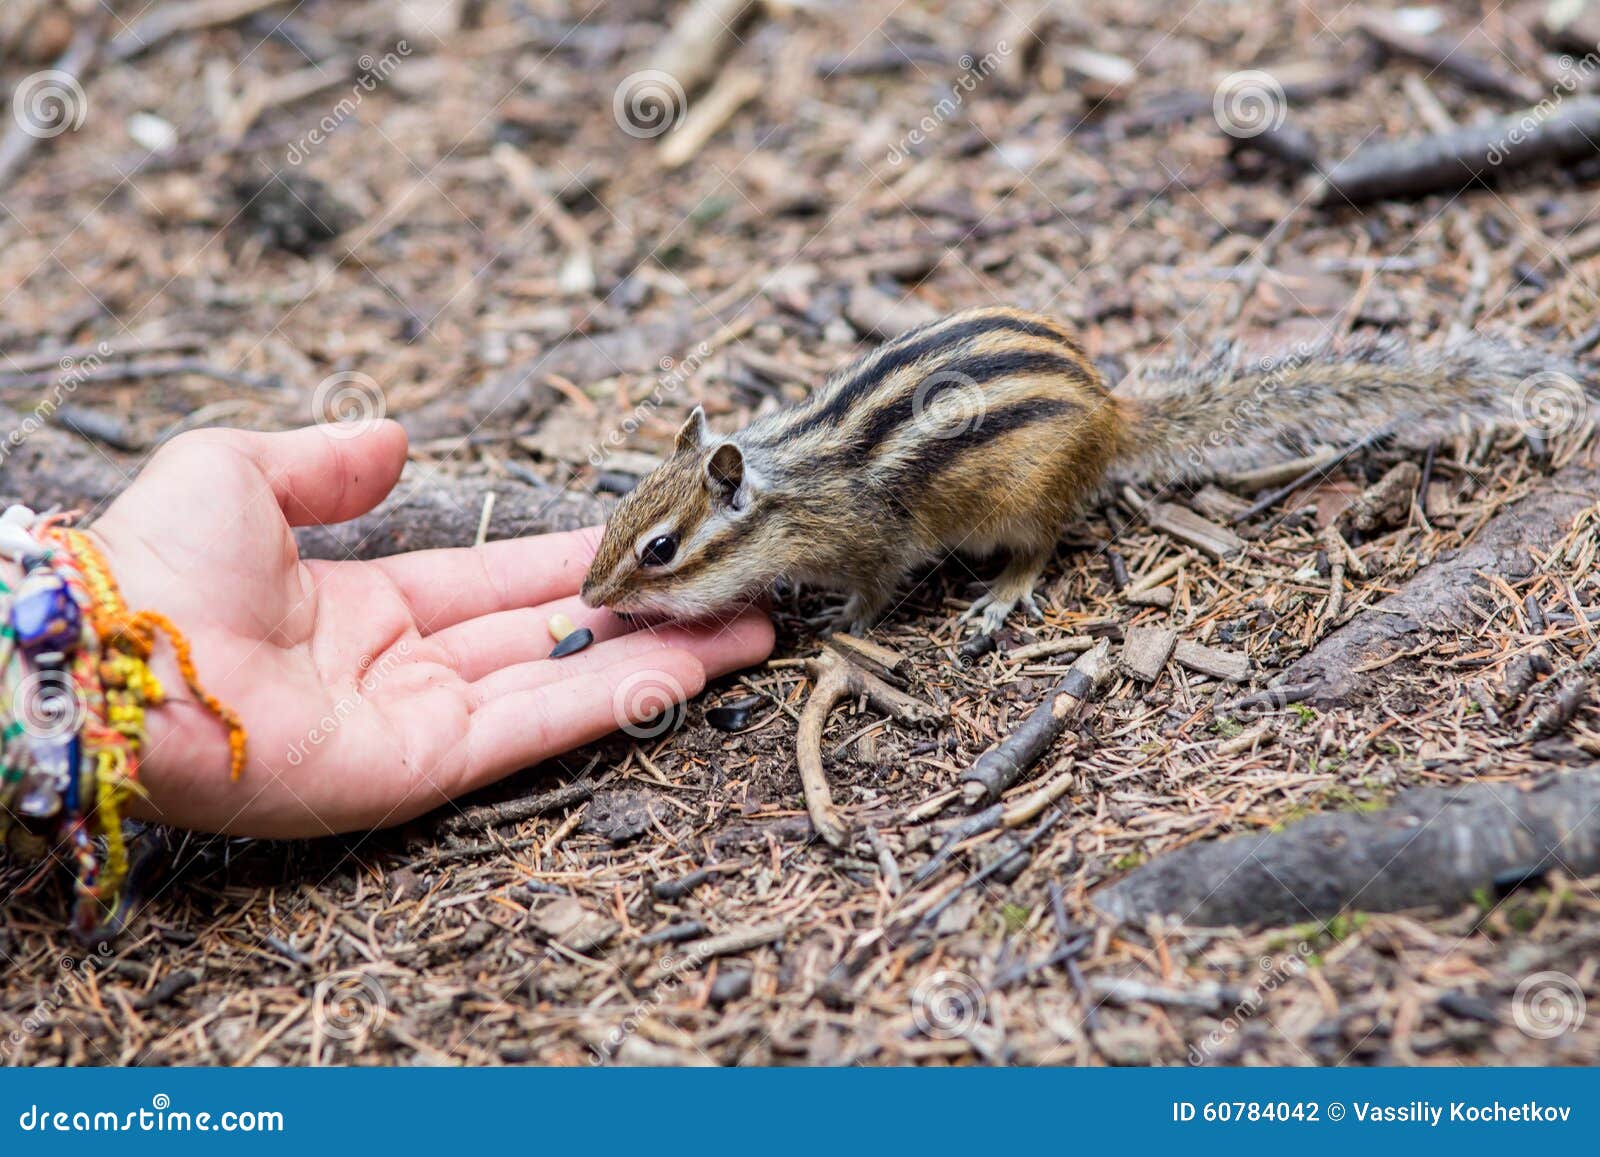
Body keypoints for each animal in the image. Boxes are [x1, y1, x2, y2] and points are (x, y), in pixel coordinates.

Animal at [579, 306, 1594, 634]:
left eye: (660, 549)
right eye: (619, 515)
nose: (590, 598)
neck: (793, 485)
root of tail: (1109, 413)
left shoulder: (873, 539)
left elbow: (875, 587)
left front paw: (841, 619)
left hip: (1022, 501)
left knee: (1042, 546)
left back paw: (999, 596)